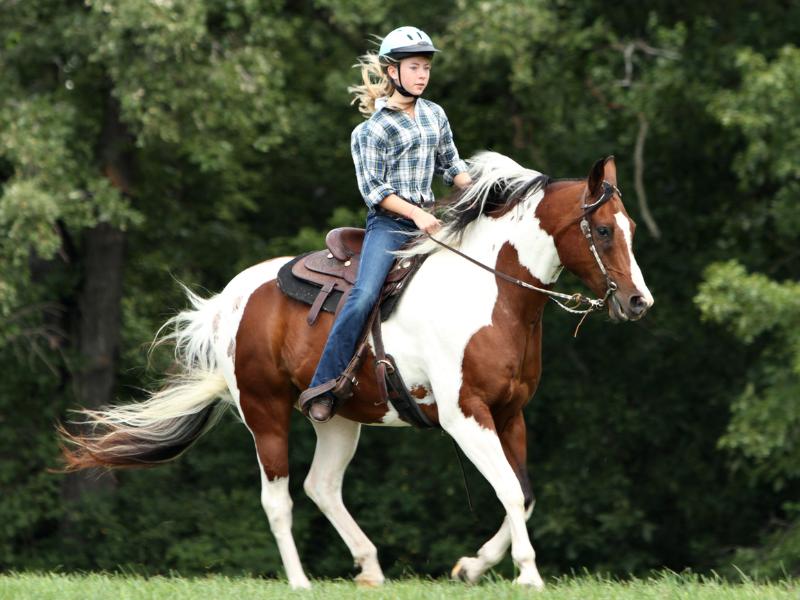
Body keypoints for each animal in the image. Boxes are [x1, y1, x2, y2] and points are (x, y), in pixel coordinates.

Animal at [59, 151, 653, 589]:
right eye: (603, 231)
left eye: (629, 227)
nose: (638, 302)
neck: (491, 293)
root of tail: (230, 301)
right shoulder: (466, 416)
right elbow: (508, 488)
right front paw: (527, 575)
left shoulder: (510, 413)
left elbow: (523, 495)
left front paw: (472, 566)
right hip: (264, 410)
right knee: (278, 498)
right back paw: (300, 582)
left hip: (338, 417)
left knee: (321, 485)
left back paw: (369, 567)